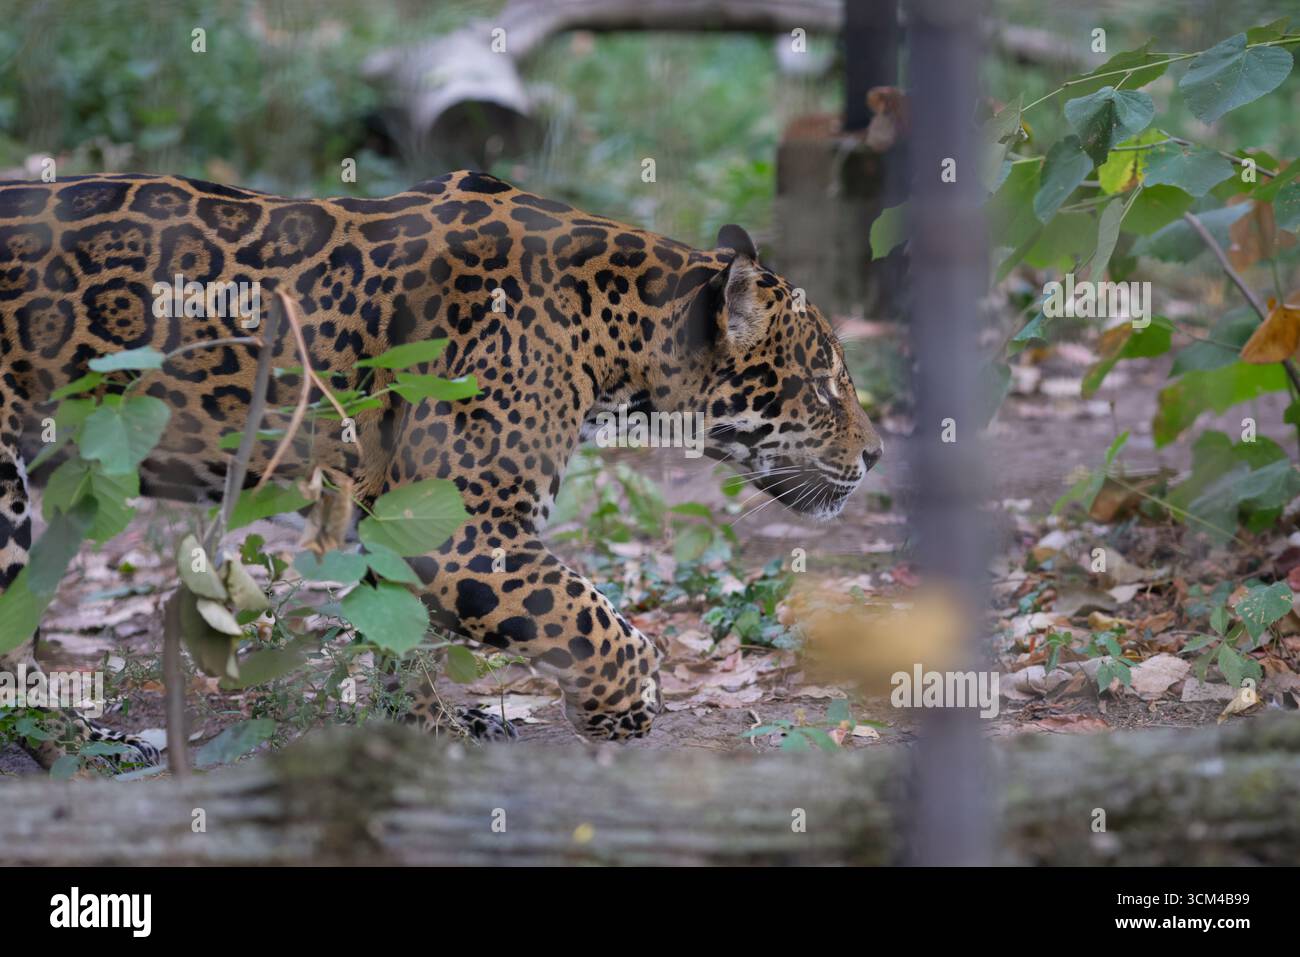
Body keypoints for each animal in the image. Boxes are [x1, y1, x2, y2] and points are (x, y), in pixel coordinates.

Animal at [0, 169, 882, 768]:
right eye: (825, 383)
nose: (875, 455)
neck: (611, 332)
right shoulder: (468, 531)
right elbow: (599, 626)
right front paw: (621, 714)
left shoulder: (394, 510)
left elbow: (404, 639)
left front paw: (427, 730)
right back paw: (81, 746)